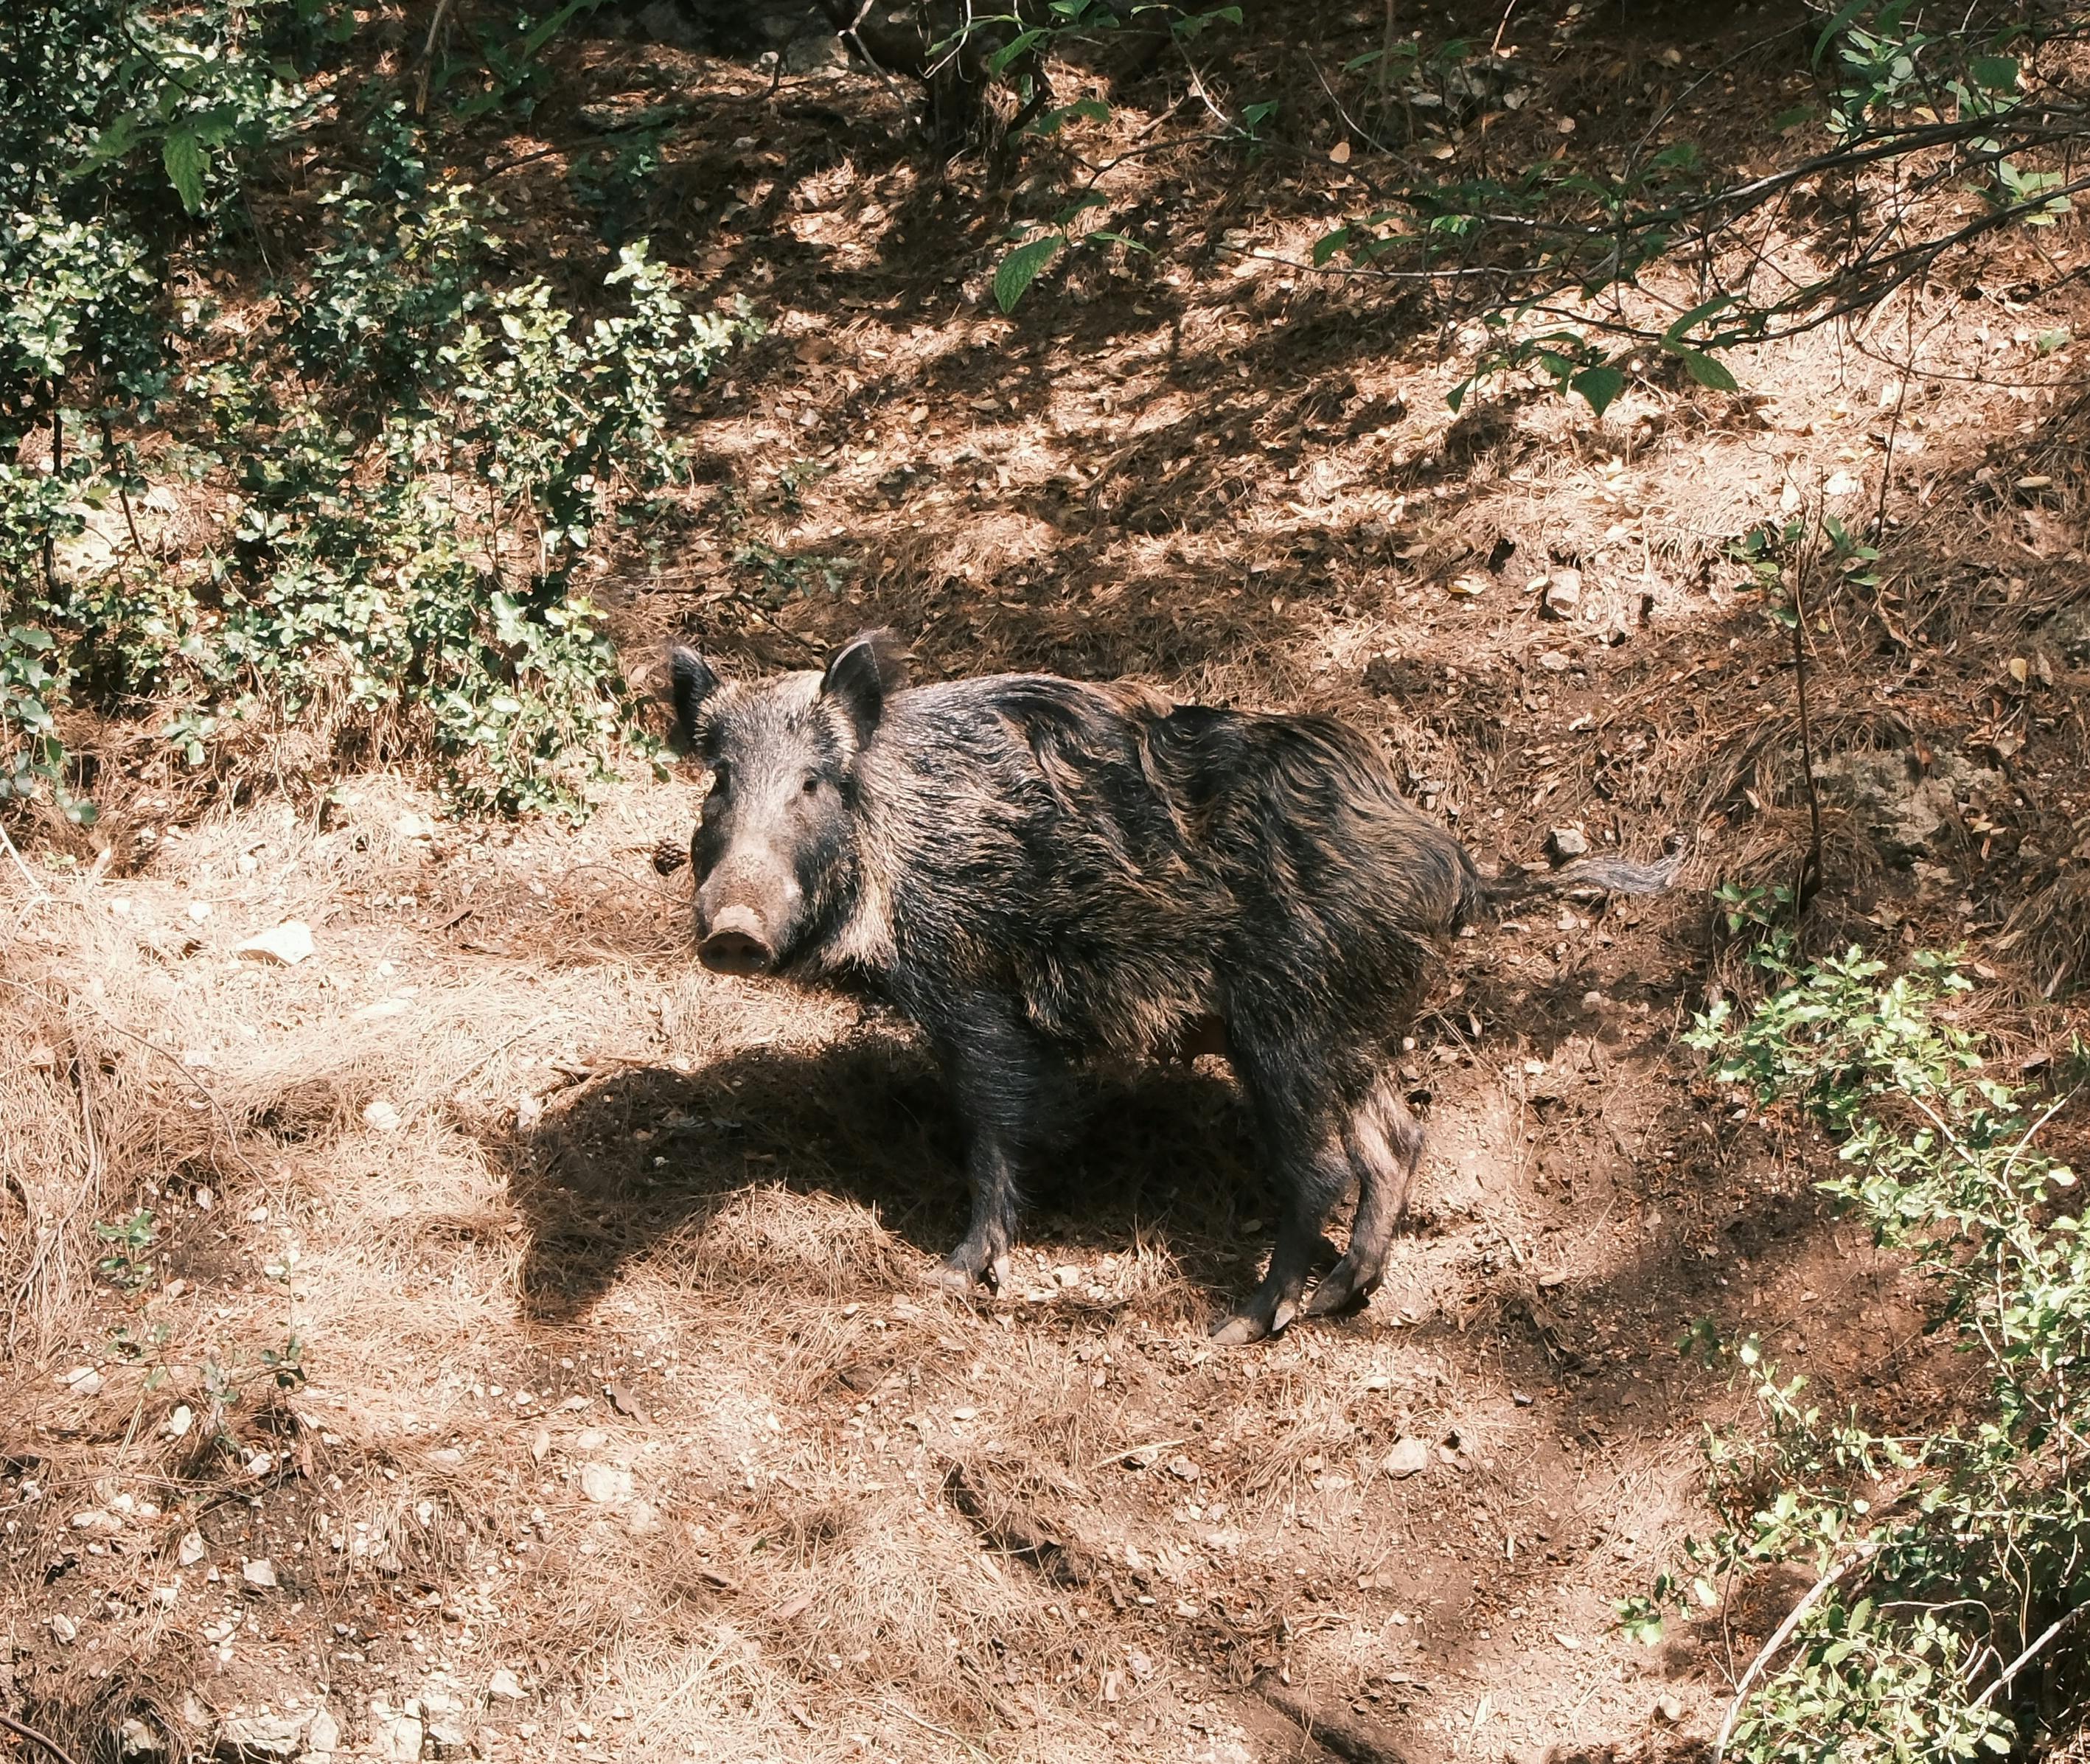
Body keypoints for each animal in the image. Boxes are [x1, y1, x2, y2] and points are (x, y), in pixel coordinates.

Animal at [668, 631, 1679, 1343]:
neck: (906, 835)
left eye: (813, 782)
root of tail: (1455, 865)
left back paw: (1240, 1323)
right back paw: (1335, 1300)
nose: (732, 930)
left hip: (1287, 1025)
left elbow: (994, 1127)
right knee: (1396, 1141)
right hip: (1344, 1032)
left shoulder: (970, 985)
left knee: (1325, 1168)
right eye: (719, 781)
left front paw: (949, 1275)